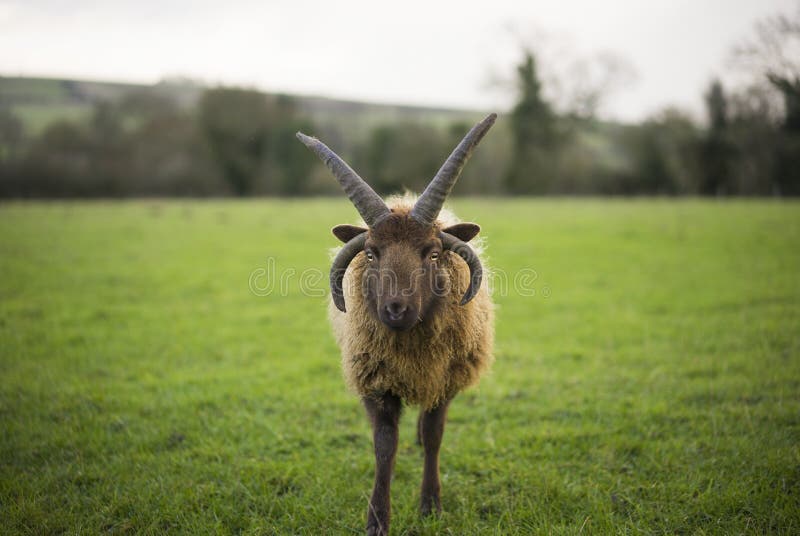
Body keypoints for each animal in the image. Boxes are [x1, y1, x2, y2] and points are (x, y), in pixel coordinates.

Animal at [296, 113, 496, 536]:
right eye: (372, 253)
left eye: (433, 253)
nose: (395, 309)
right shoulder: (375, 381)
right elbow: (384, 445)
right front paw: (377, 519)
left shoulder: (445, 379)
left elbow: (434, 436)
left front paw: (430, 505)